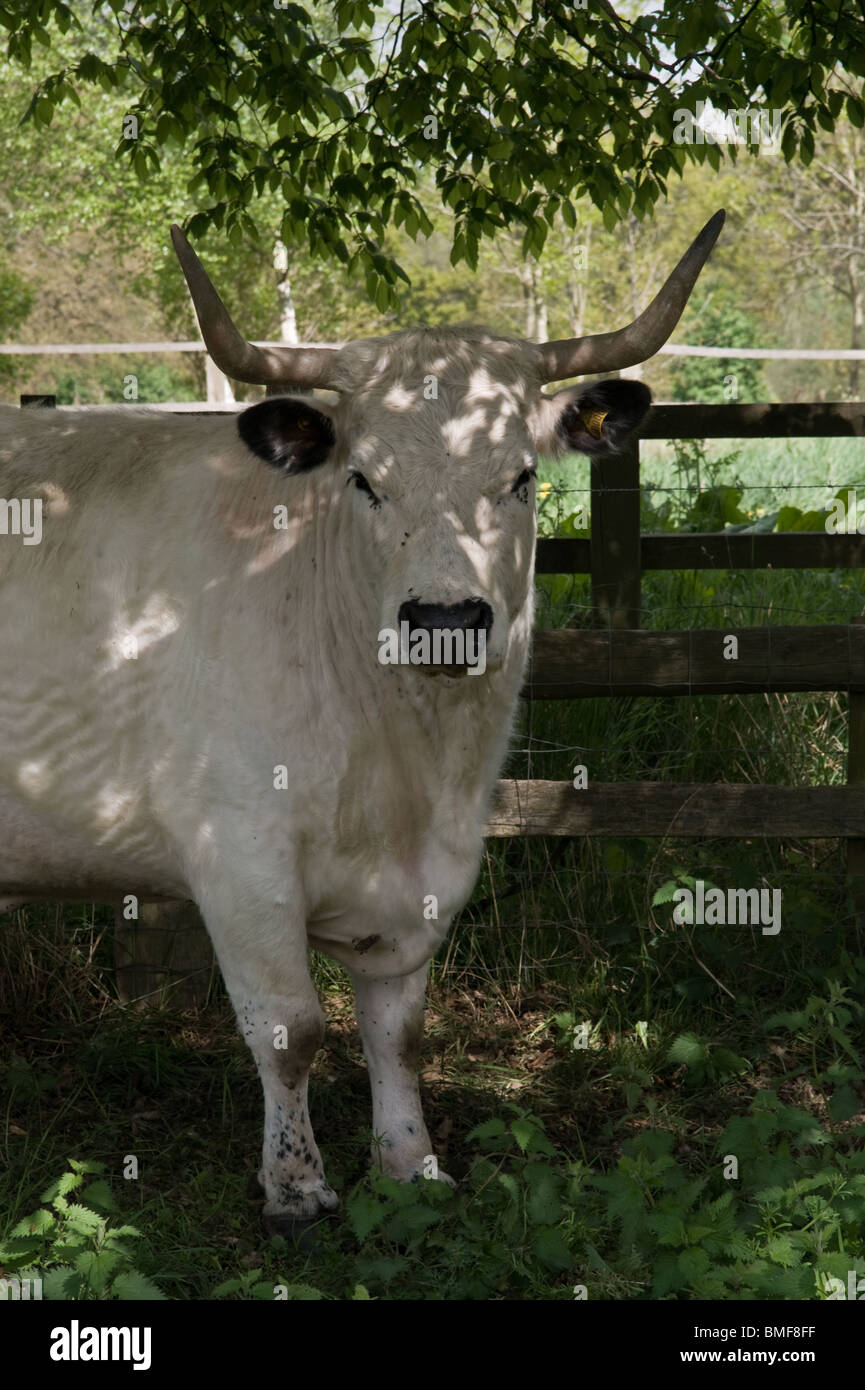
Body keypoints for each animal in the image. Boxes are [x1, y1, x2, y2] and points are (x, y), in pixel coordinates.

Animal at [0, 210, 724, 1238]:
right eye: (364, 481)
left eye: (521, 476)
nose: (444, 619)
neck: (408, 772)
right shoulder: (240, 857)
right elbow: (291, 1029)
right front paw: (295, 1184)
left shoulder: (426, 881)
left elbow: (401, 1031)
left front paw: (410, 1163)